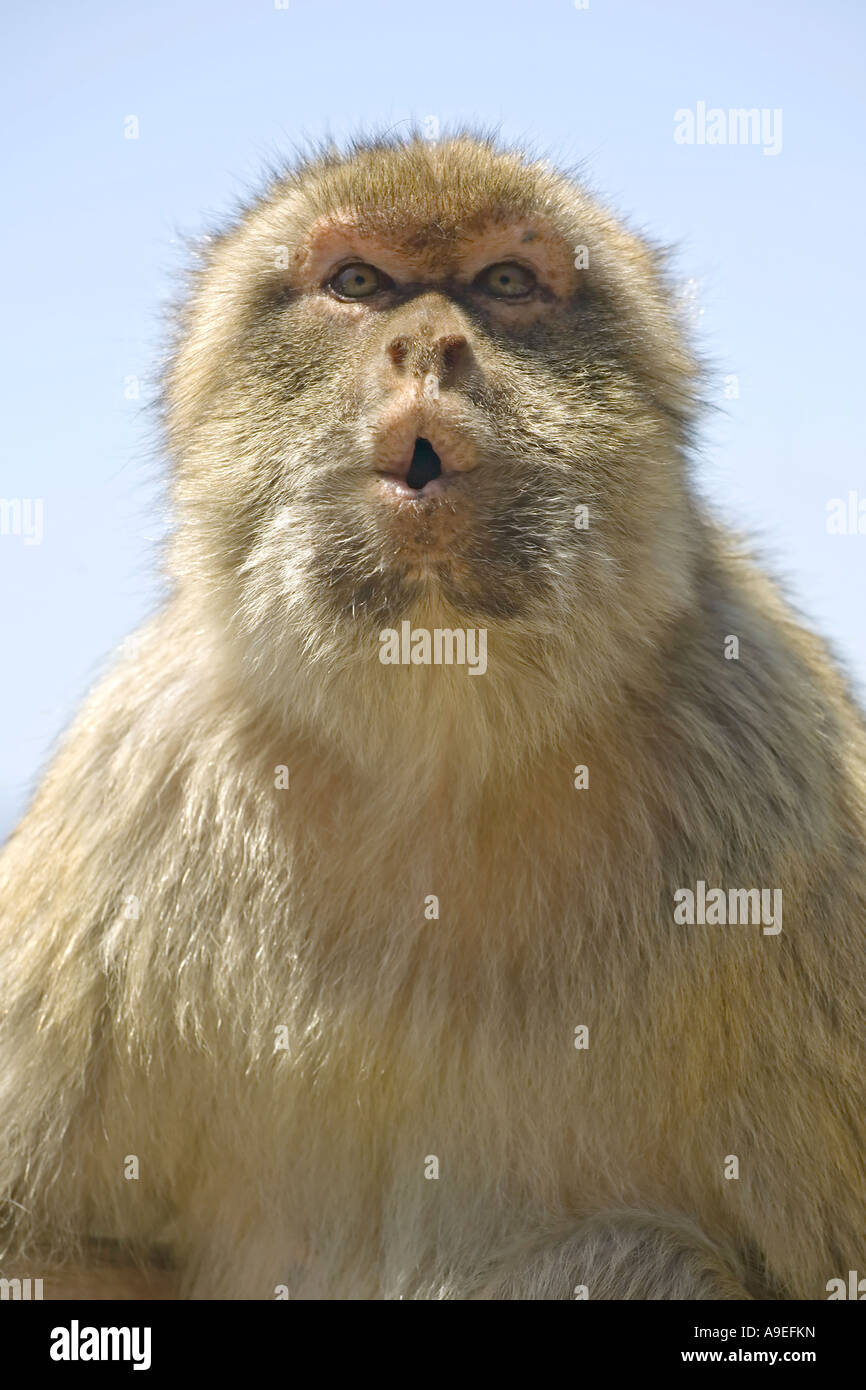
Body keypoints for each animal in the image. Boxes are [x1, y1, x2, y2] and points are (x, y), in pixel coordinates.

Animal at [1, 130, 865, 1301]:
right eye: (360, 285)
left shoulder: (780, 772)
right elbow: (56, 1245)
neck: (440, 725)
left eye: (503, 284)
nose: (428, 349)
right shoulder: (135, 778)